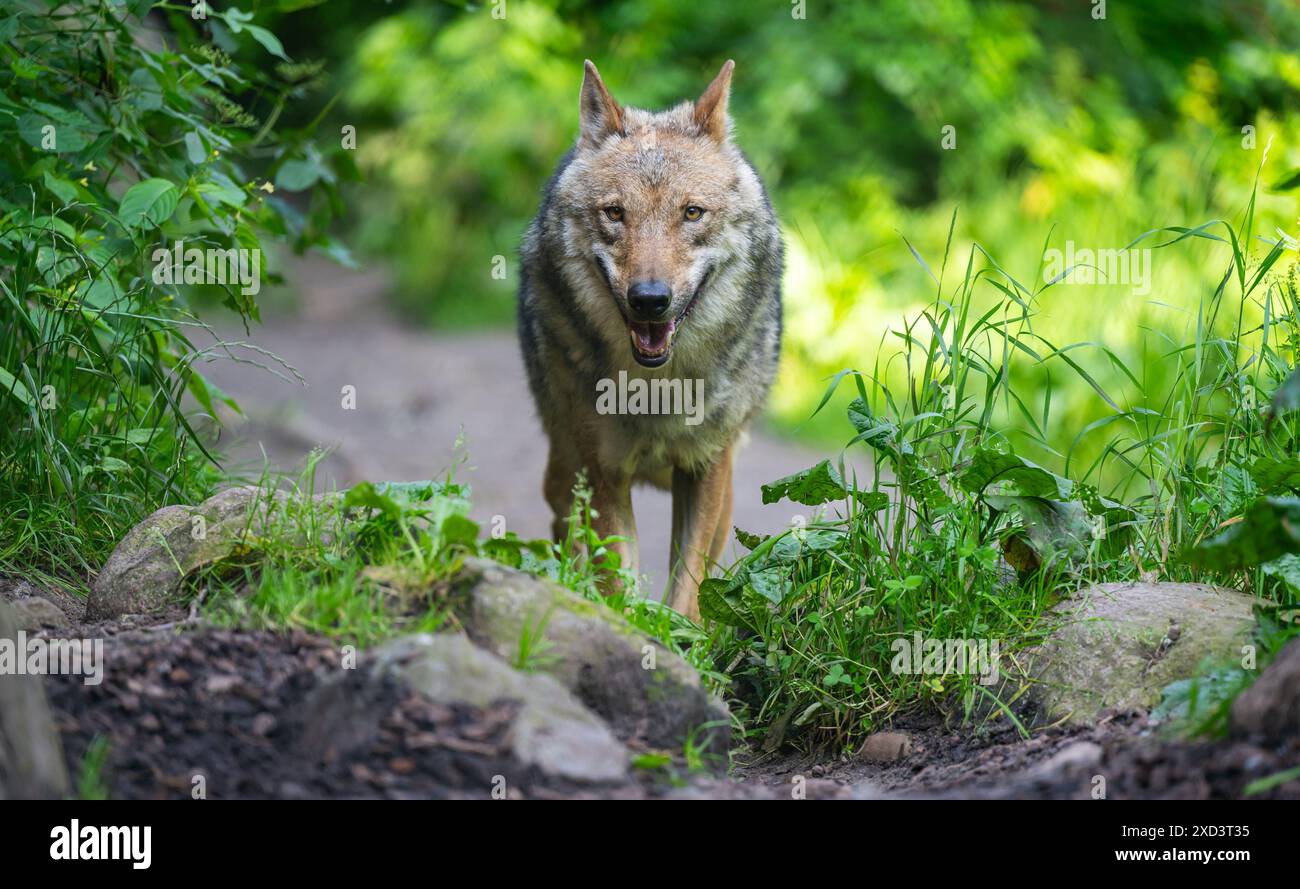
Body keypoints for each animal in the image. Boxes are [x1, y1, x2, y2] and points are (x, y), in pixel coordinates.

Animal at [517, 59, 783, 620]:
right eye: (616, 213)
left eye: (692, 213)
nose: (649, 300)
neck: (658, 389)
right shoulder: (602, 471)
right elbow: (617, 580)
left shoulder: (707, 467)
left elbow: (689, 586)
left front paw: (679, 635)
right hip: (564, 467)